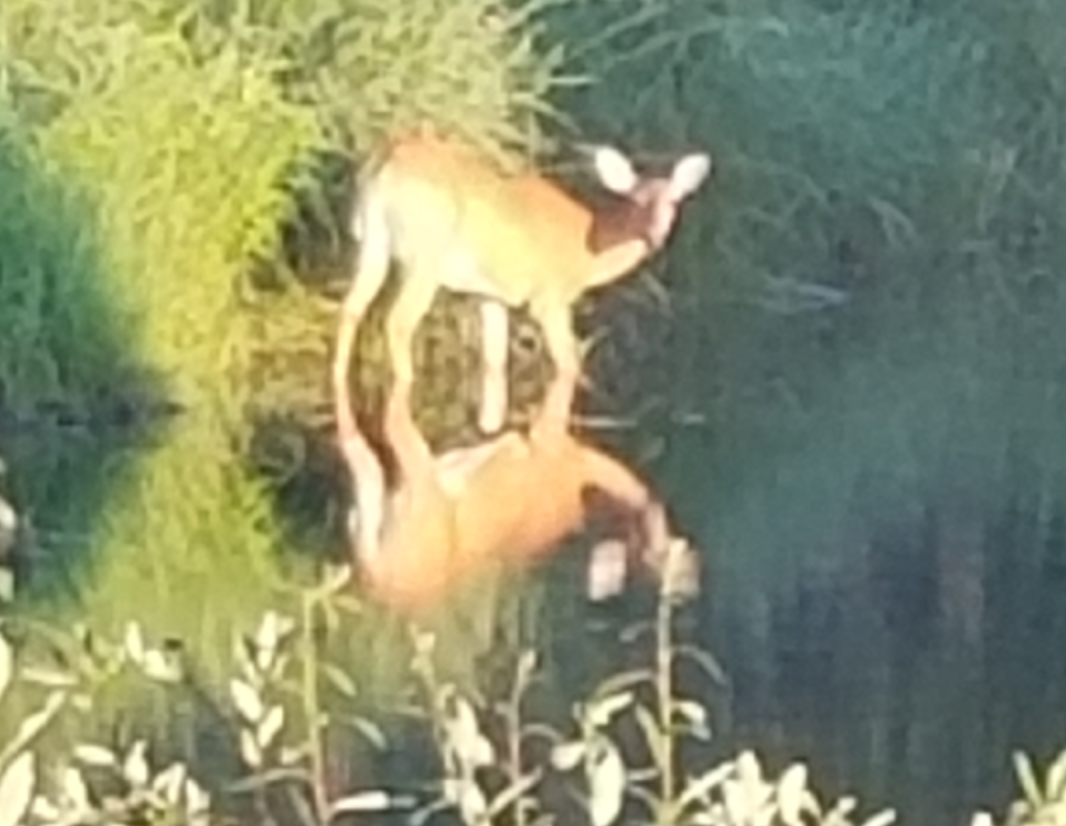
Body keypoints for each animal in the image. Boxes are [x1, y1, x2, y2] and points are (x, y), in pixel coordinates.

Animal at [334, 132, 711, 436]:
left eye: (674, 201)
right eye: (636, 201)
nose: (656, 236)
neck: (586, 250)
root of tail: (385, 165)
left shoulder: (491, 293)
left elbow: (495, 359)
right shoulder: (550, 297)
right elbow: (569, 362)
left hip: (371, 239)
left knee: (351, 307)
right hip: (425, 251)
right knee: (398, 321)